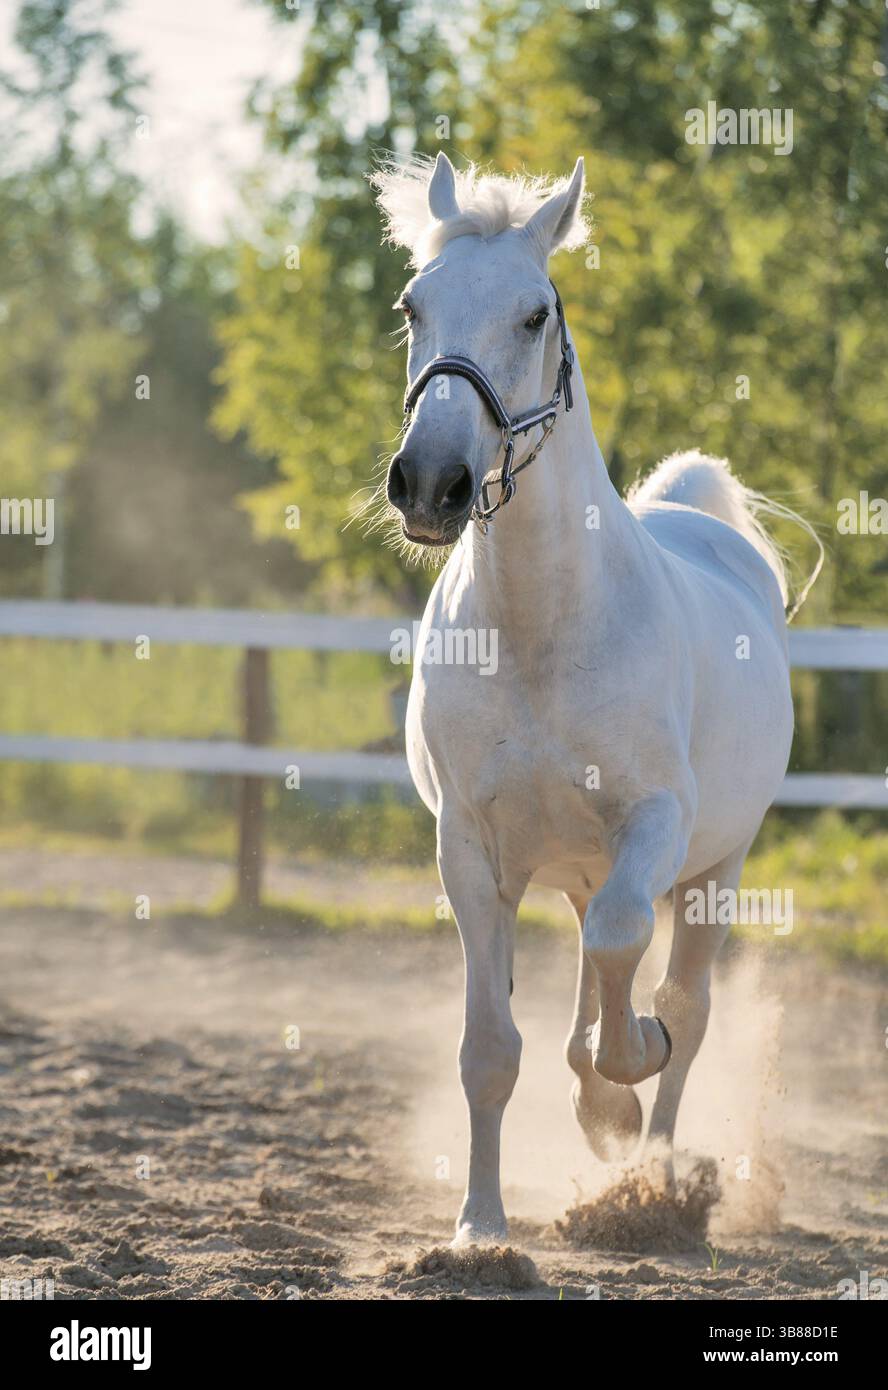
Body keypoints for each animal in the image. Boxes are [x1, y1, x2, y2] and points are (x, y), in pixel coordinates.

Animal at [370, 152, 820, 1246]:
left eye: (536, 314)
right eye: (412, 305)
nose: (431, 484)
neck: (541, 630)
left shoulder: (658, 820)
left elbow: (631, 960)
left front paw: (624, 1086)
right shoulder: (469, 850)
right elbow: (491, 1049)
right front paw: (479, 1229)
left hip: (719, 866)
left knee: (683, 1000)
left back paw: (650, 1177)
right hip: (576, 863)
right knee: (588, 974)